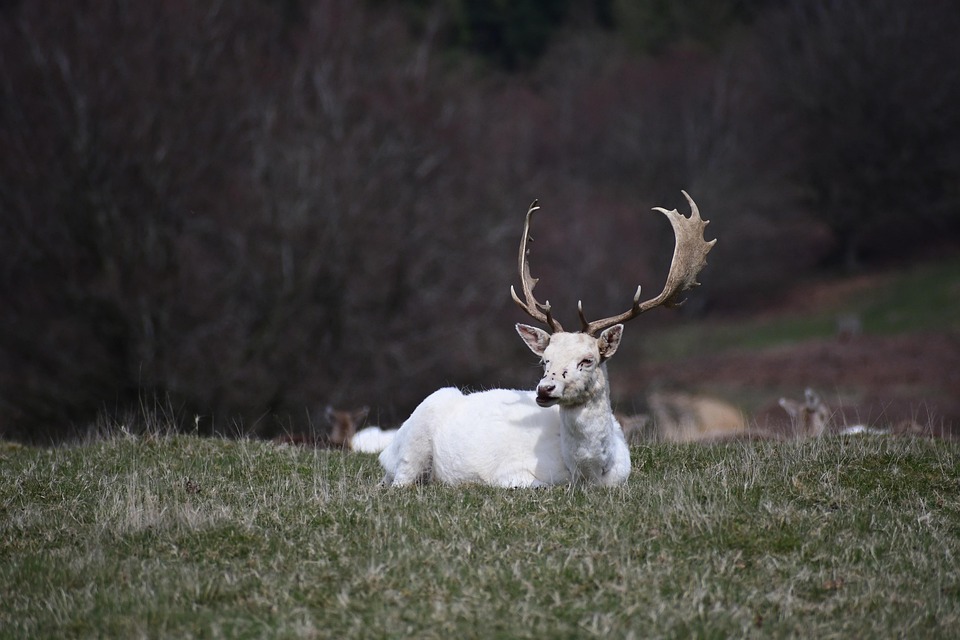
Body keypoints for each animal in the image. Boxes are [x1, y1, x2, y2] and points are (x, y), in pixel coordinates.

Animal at [378, 191, 716, 487]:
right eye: (544, 359)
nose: (545, 388)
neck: (589, 475)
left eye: (588, 360)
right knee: (400, 481)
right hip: (415, 439)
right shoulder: (510, 475)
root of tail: (386, 452)